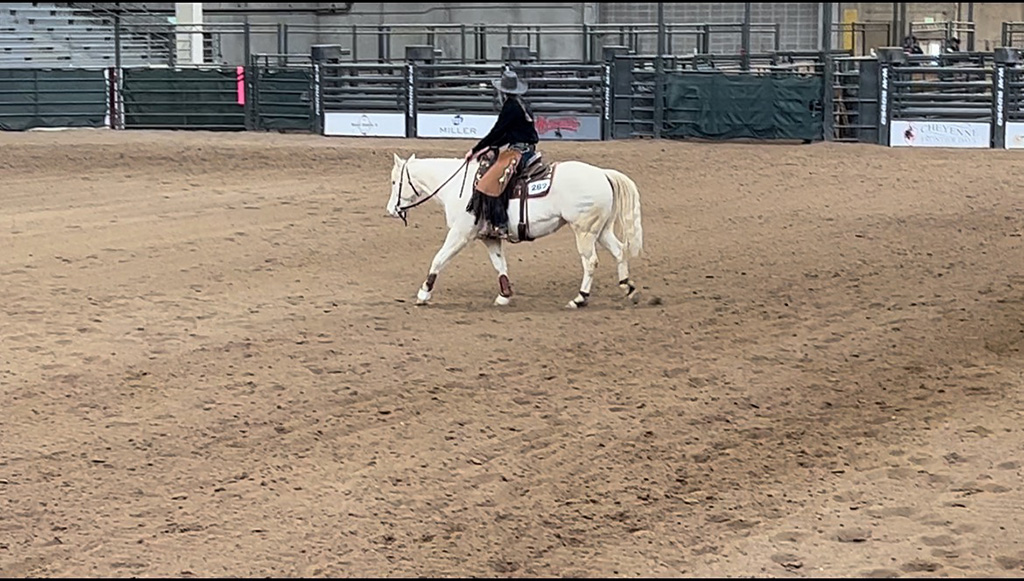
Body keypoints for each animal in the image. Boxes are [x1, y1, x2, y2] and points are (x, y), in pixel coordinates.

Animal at [385, 151, 645, 309]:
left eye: (394, 182)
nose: (391, 210)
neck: (458, 186)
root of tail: (602, 173)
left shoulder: (460, 233)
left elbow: (439, 259)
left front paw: (423, 294)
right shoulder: (489, 237)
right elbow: (499, 264)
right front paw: (504, 295)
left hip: (584, 231)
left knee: (590, 262)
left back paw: (580, 299)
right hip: (601, 230)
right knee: (619, 251)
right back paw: (628, 288)